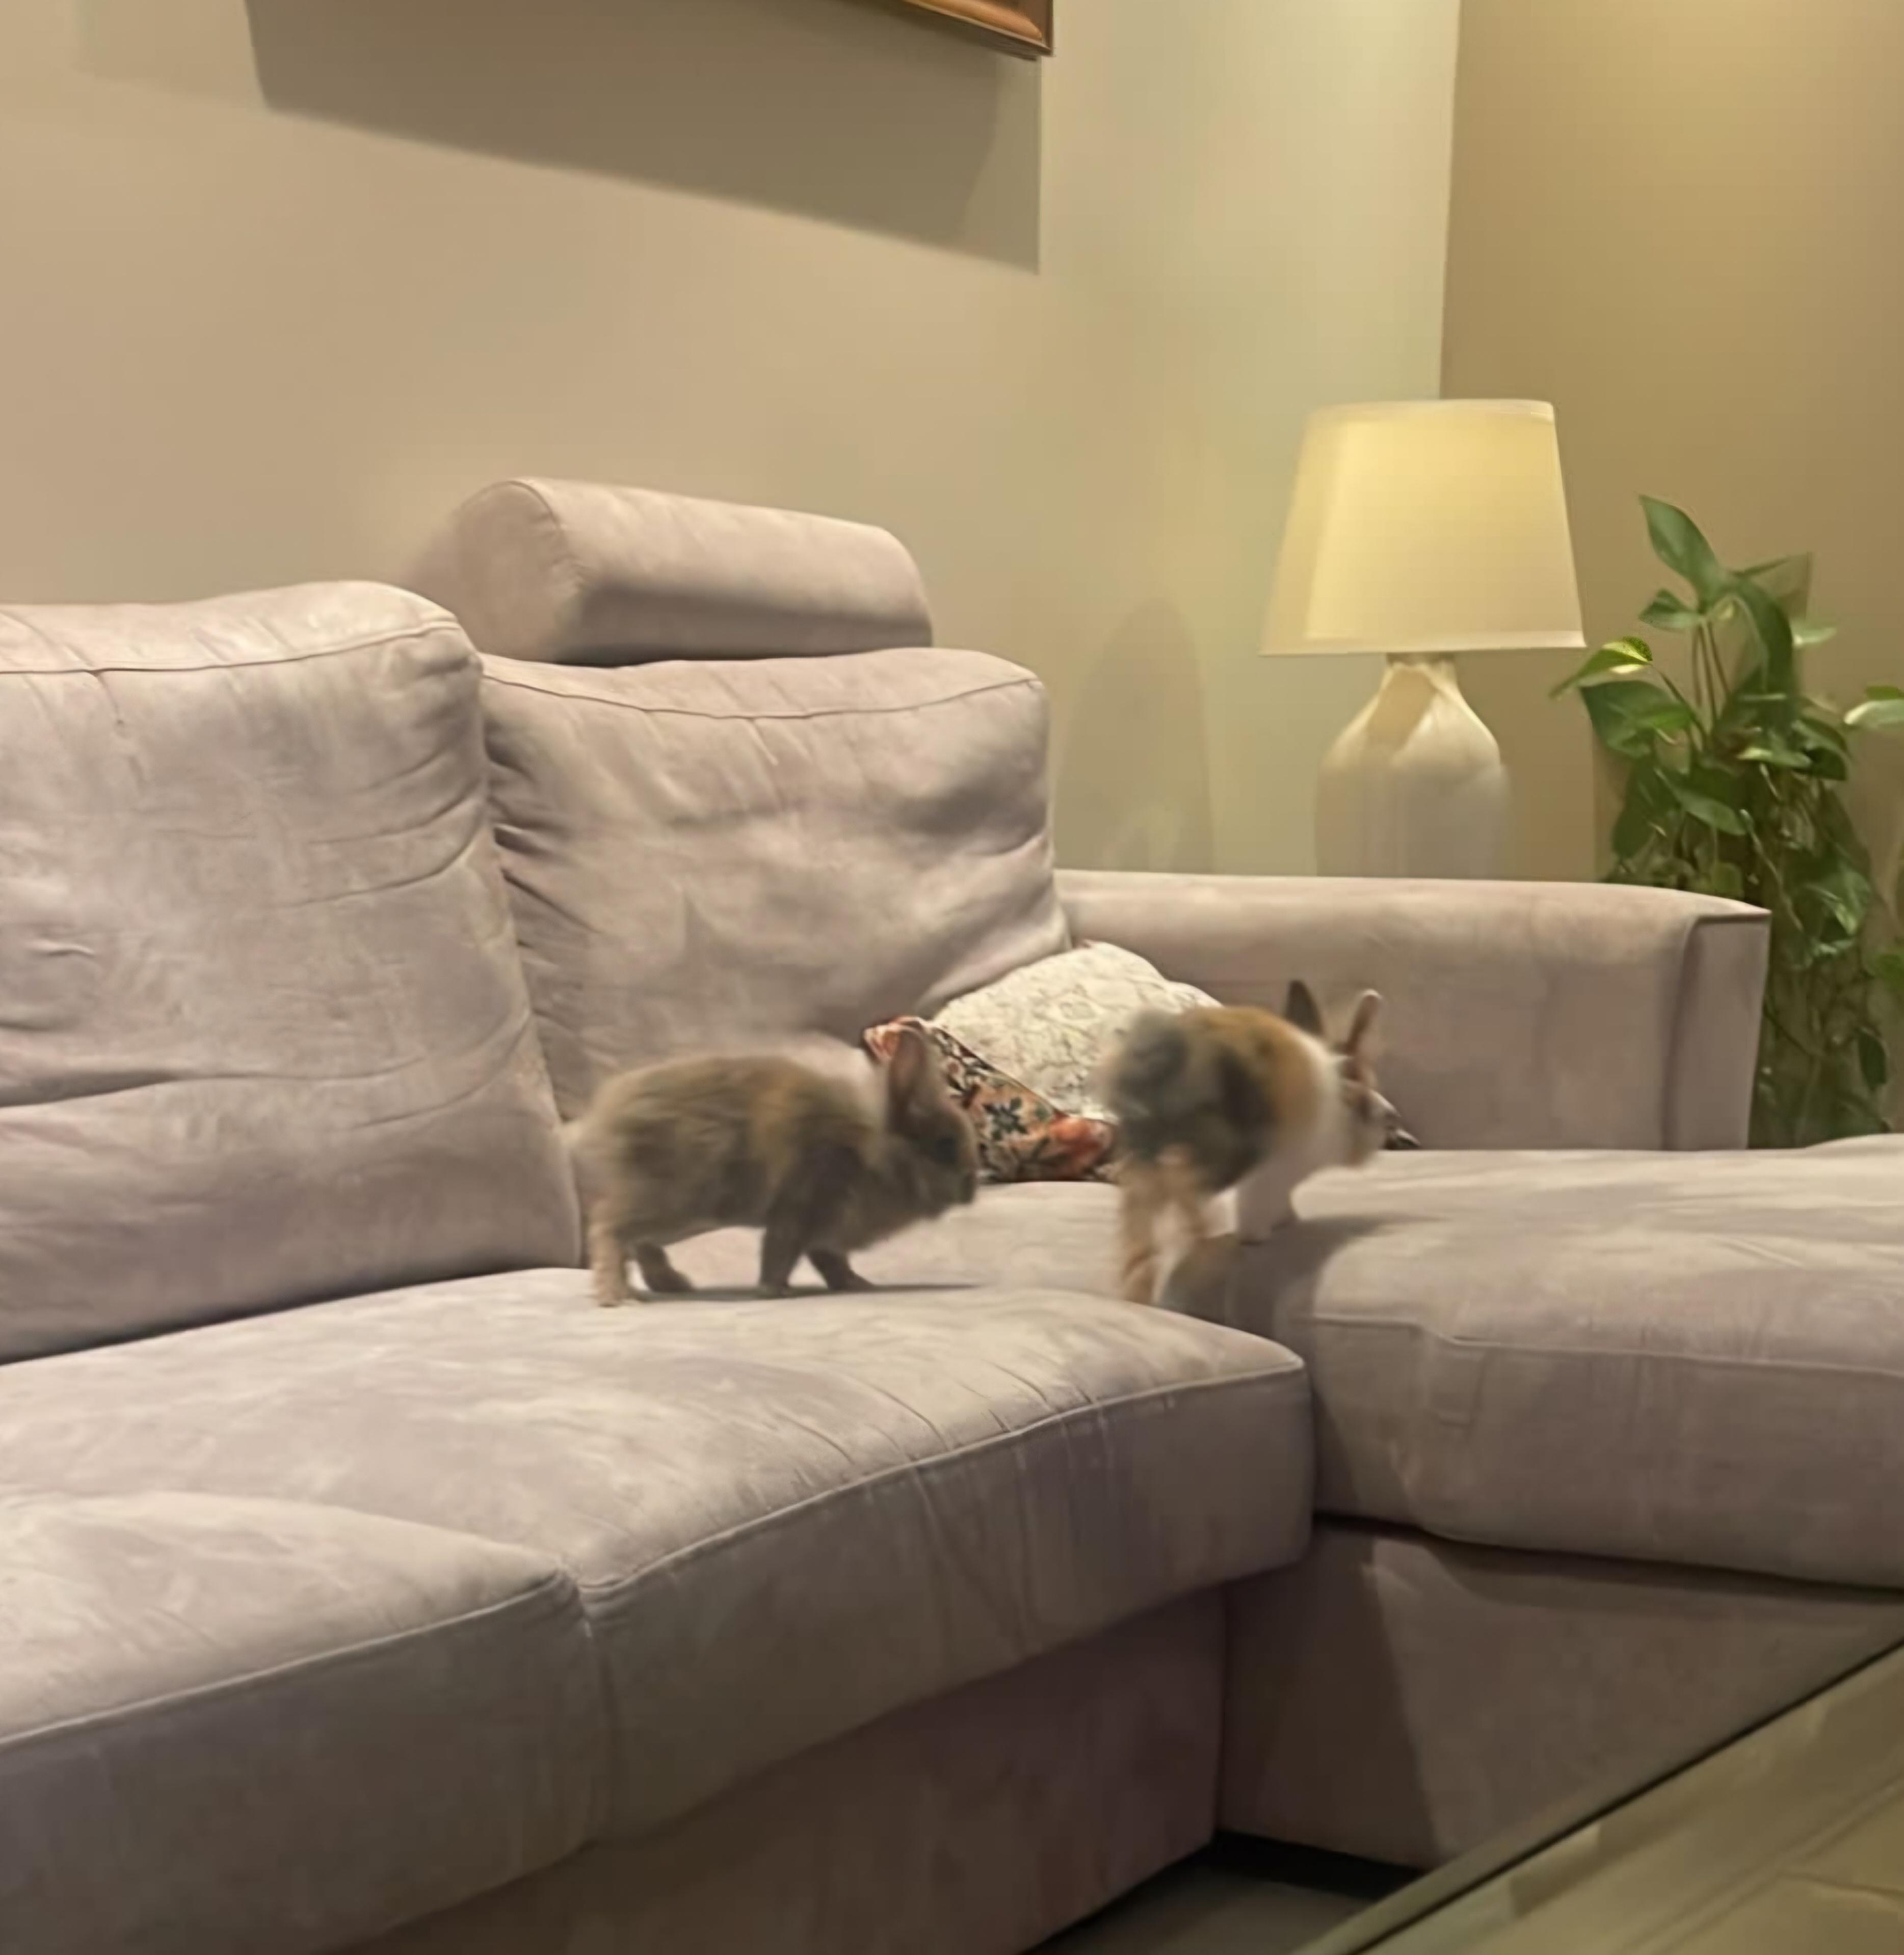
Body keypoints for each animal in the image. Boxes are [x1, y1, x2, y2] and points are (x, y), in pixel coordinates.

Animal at [571, 1025, 979, 1304]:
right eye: (945, 1145)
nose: (971, 1189)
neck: (871, 1150)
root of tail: (598, 1123)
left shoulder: (823, 1230)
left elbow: (830, 1261)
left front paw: (857, 1284)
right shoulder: (801, 1206)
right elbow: (781, 1252)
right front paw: (773, 1291)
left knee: (640, 1244)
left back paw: (671, 1285)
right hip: (669, 1205)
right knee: (609, 1231)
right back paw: (617, 1297)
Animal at [1102, 980, 1393, 1305]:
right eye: (1366, 1096)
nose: (1390, 1118)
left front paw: (1287, 1220)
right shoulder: (1273, 1169)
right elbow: (1257, 1204)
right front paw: (1258, 1235)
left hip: (1147, 1157)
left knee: (1140, 1225)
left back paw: (1139, 1293)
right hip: (1226, 1149)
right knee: (1182, 1180)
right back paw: (1207, 1245)